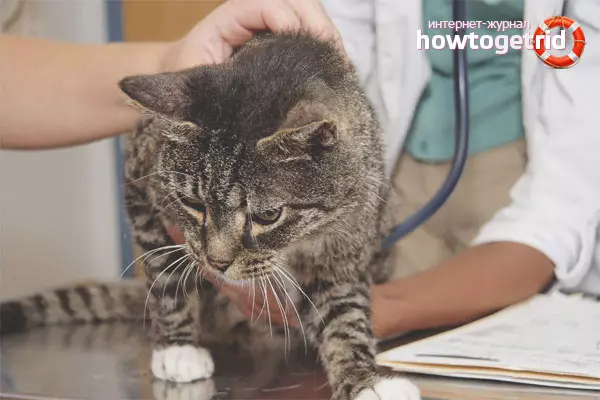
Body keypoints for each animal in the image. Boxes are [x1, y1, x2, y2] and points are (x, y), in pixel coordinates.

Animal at [1, 32, 422, 400]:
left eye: (268, 215)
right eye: (193, 203)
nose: (217, 262)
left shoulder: (344, 248)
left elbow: (345, 317)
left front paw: (364, 380)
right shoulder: (139, 186)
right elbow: (166, 275)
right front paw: (178, 348)